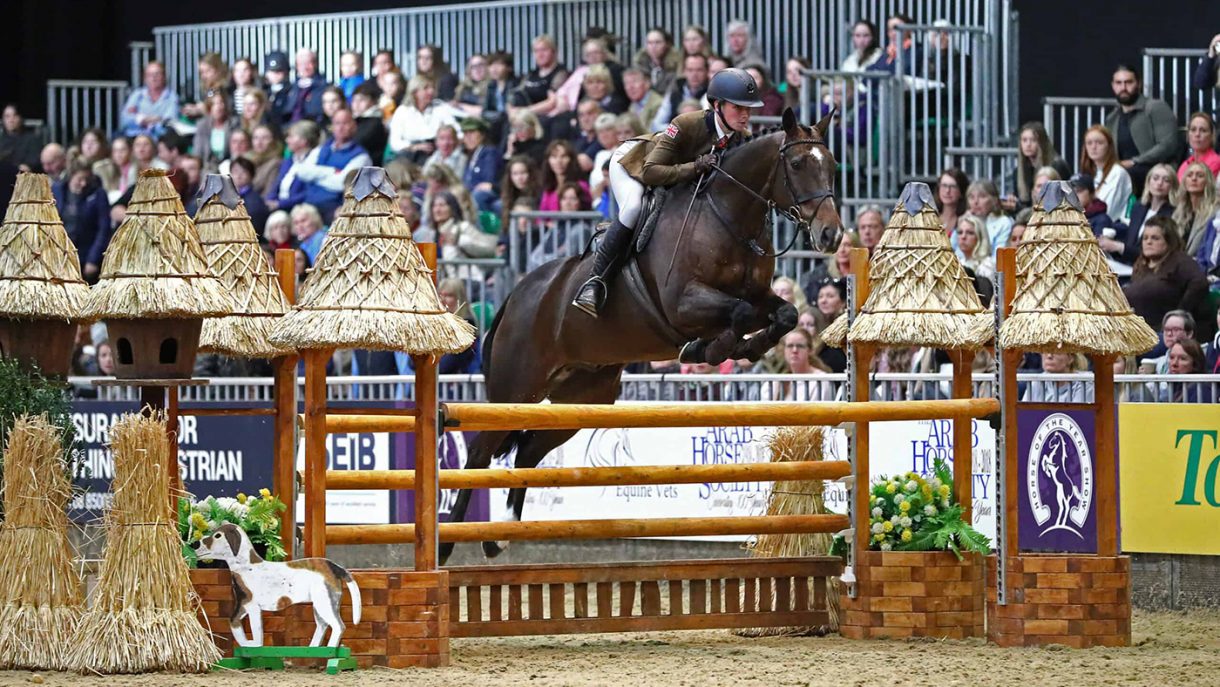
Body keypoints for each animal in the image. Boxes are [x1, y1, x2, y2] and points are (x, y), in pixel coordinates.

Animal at [440, 108, 843, 563]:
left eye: (831, 166)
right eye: (798, 164)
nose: (831, 235)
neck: (729, 216)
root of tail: (516, 295)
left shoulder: (758, 298)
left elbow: (784, 315)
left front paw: (735, 347)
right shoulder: (683, 303)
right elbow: (736, 315)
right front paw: (709, 347)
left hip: (584, 396)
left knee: (528, 450)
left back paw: (500, 537)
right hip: (517, 387)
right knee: (479, 451)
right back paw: (449, 541)